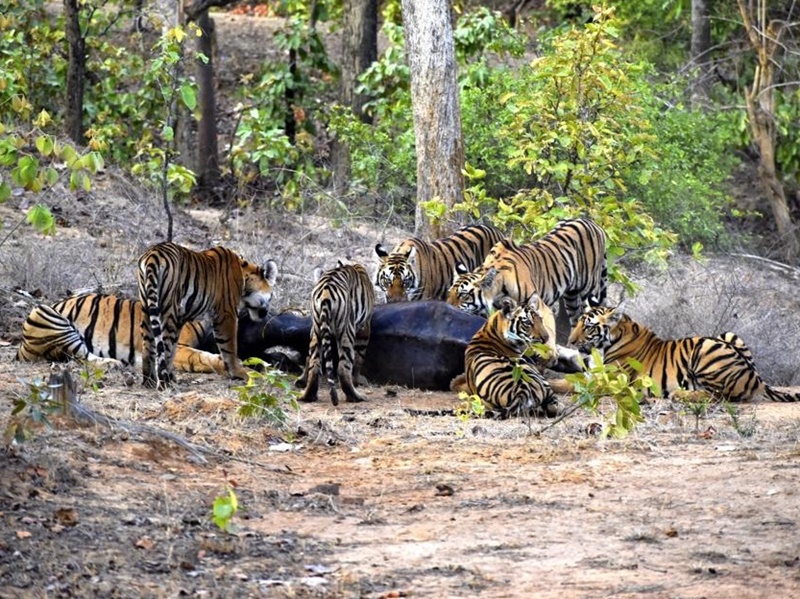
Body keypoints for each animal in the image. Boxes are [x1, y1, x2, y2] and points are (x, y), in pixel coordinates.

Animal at [16, 293, 225, 374]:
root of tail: (21, 348)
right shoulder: (174, 347)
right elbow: (200, 357)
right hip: (44, 314)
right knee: (80, 354)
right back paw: (112, 363)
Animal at [137, 242, 278, 389]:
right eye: (271, 296)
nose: (267, 313)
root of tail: (152, 255)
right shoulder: (226, 312)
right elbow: (228, 347)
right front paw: (239, 371)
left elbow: (174, 352)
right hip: (168, 310)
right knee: (164, 347)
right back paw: (163, 383)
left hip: (146, 307)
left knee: (148, 348)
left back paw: (150, 382)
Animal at [296, 260, 376, 406]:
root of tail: (326, 292)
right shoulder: (365, 326)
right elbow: (359, 358)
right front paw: (358, 381)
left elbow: (308, 359)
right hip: (347, 330)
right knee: (343, 368)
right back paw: (356, 397)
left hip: (316, 330)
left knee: (314, 365)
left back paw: (307, 396)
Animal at [568, 305, 800, 403]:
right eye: (578, 323)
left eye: (588, 327)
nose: (570, 341)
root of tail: (756, 378)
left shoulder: (612, 380)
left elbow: (572, 383)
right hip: (728, 335)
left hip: (705, 350)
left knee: (719, 396)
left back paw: (679, 395)